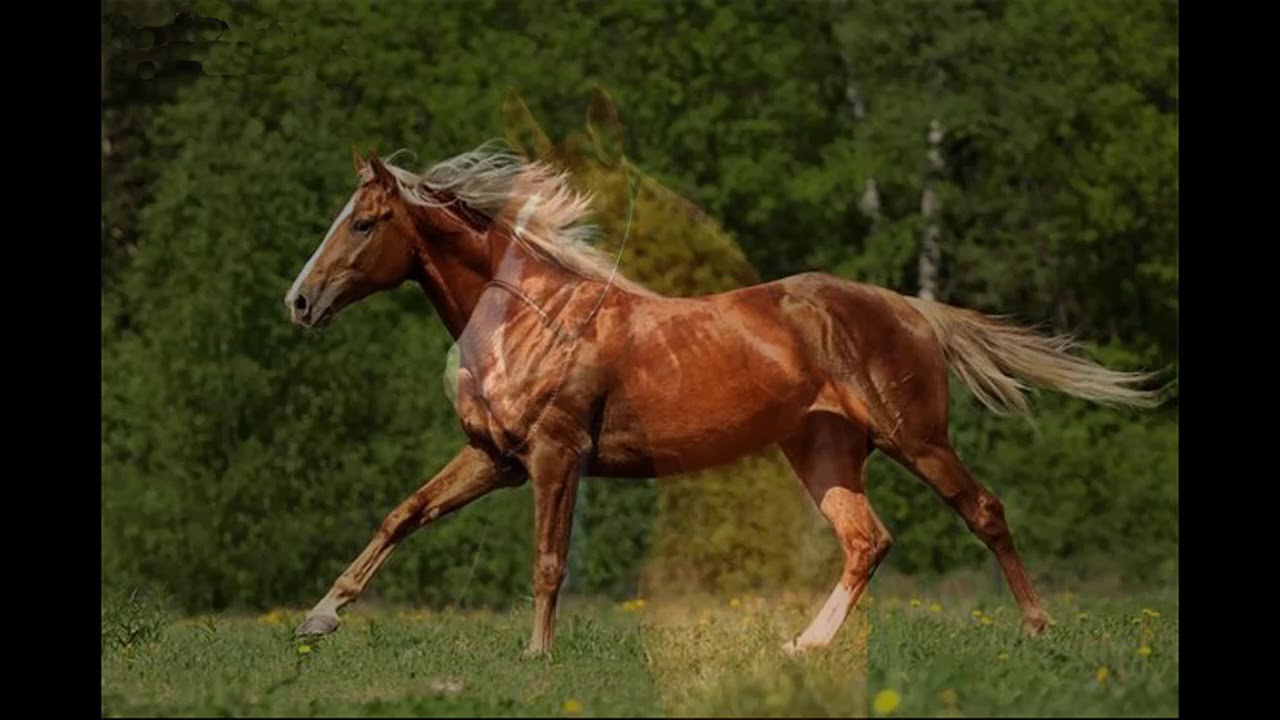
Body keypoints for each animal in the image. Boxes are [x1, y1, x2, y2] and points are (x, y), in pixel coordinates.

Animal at [283, 143, 1162, 657]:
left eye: (362, 223)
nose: (299, 302)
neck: (535, 316)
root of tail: (911, 307)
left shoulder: (555, 456)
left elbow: (546, 561)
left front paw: (536, 657)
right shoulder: (494, 457)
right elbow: (402, 515)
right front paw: (317, 618)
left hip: (917, 438)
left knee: (983, 511)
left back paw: (1038, 628)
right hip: (825, 452)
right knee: (867, 541)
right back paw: (803, 648)